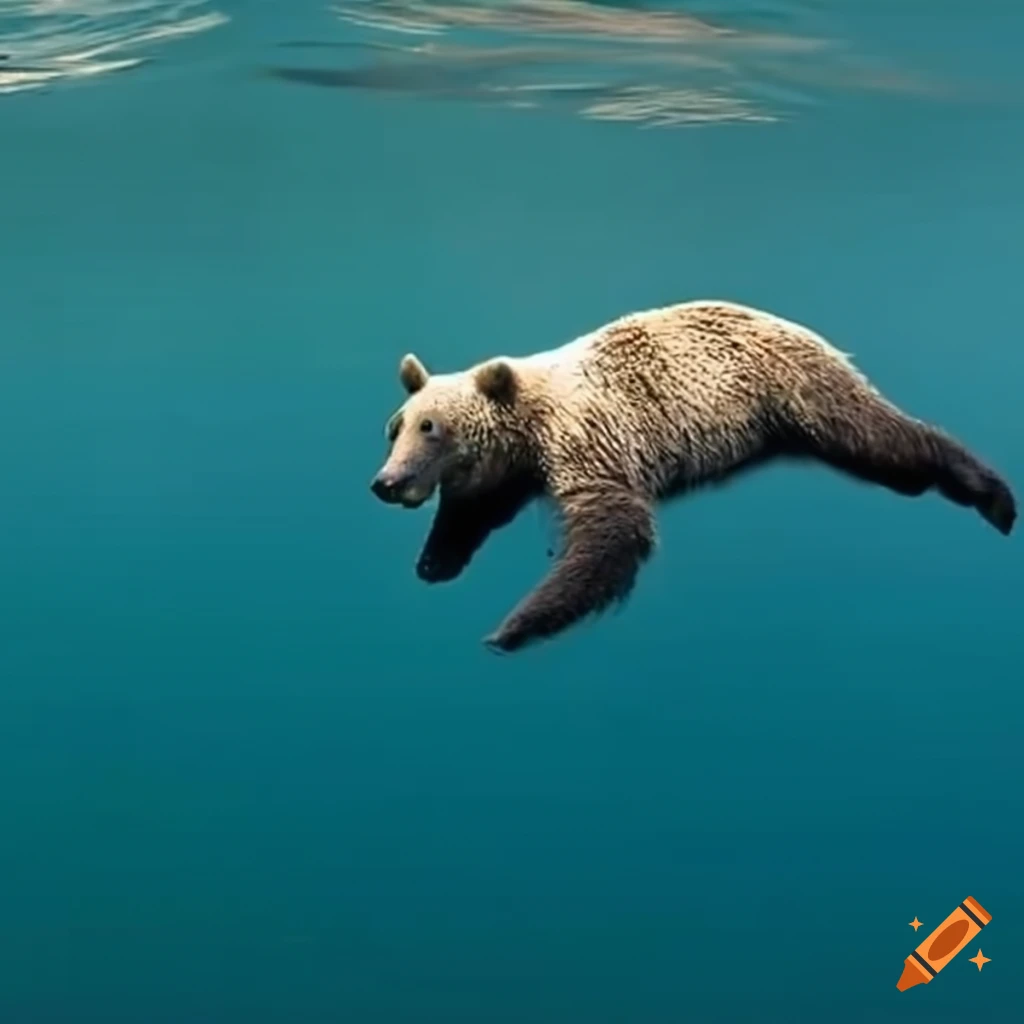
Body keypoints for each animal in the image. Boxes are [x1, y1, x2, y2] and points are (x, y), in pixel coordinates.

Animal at [370, 300, 1016, 654]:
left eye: (430, 426)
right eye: (395, 427)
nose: (385, 483)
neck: (528, 428)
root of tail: (797, 322)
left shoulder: (589, 439)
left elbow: (612, 529)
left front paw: (514, 626)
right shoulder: (512, 468)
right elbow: (478, 508)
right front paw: (438, 558)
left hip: (794, 386)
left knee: (883, 438)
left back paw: (989, 491)